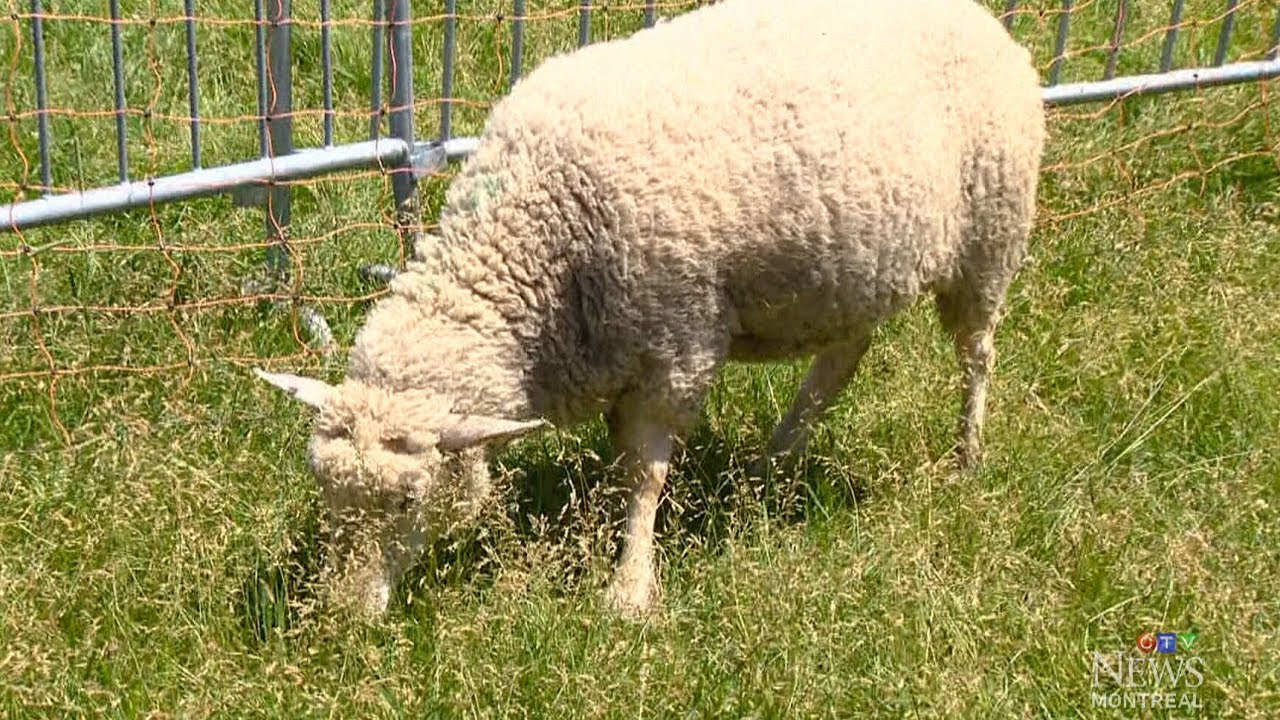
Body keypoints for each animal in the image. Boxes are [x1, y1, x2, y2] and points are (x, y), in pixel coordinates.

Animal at [256, 0, 1046, 618]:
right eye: (326, 492)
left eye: (406, 503)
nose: (345, 615)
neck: (537, 234)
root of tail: (987, 22)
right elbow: (625, 460)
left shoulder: (679, 342)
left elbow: (647, 472)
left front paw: (630, 585)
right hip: (854, 269)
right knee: (842, 360)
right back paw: (775, 457)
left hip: (991, 238)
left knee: (977, 356)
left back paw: (966, 455)